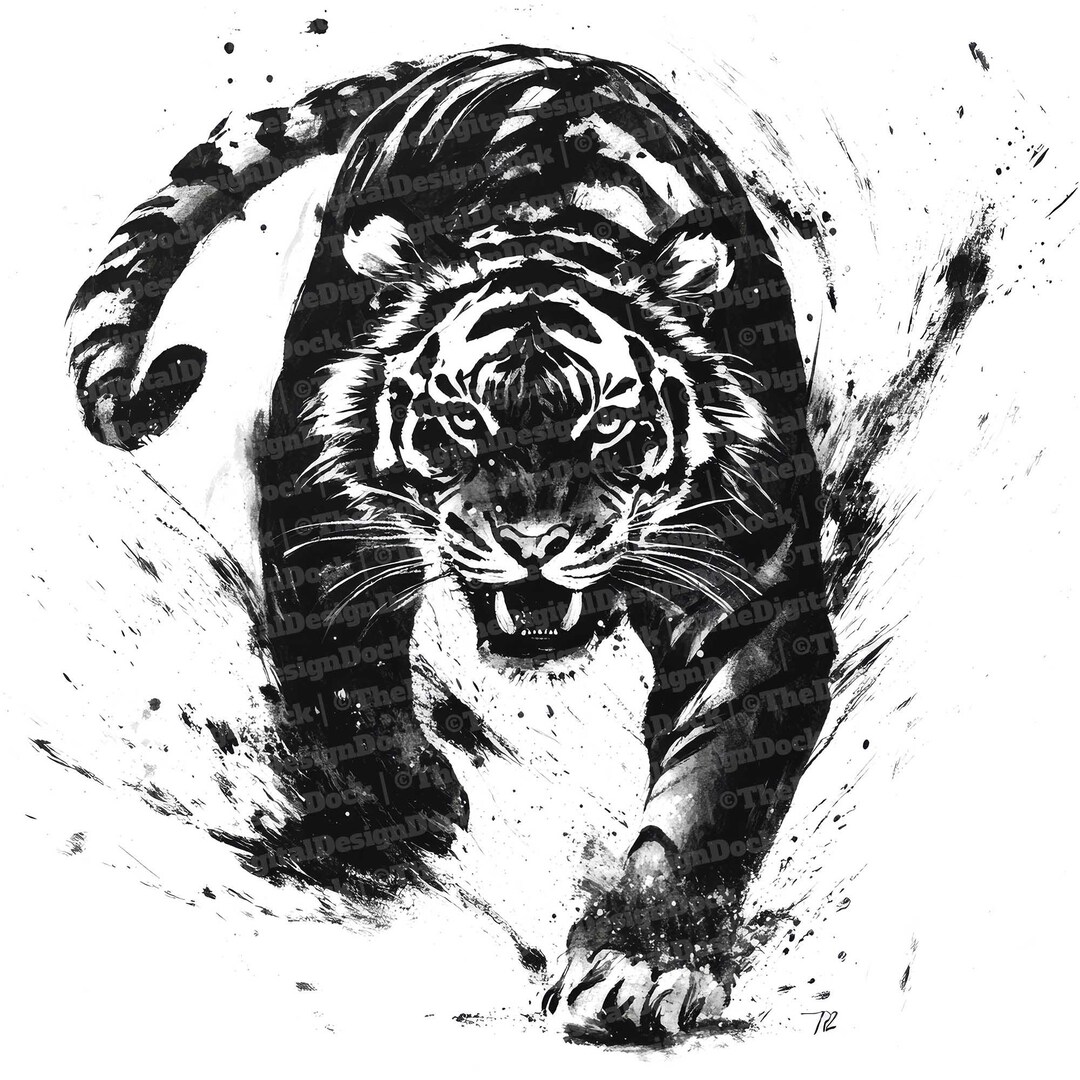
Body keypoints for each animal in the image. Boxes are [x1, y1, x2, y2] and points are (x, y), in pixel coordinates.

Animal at [67, 44, 835, 1040]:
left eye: (608, 423)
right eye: (463, 420)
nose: (535, 540)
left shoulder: (748, 596)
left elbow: (707, 798)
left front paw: (640, 964)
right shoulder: (329, 527)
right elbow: (345, 679)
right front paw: (404, 808)